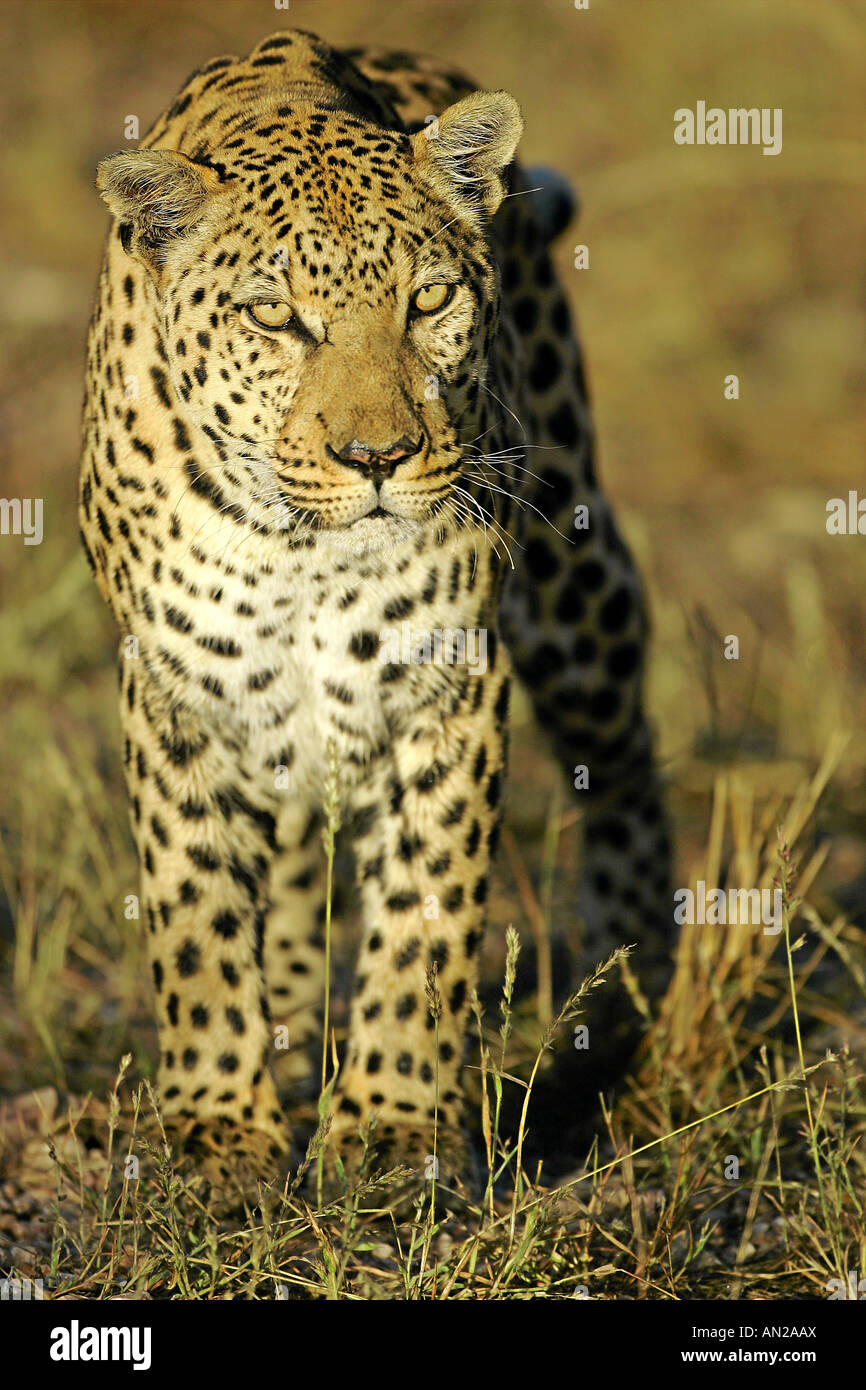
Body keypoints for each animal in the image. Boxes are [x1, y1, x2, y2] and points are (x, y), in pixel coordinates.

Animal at [79, 28, 673, 1203]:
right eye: (274, 315)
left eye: (429, 300)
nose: (378, 457)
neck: (303, 545)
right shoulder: (176, 692)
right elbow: (195, 911)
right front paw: (219, 1127)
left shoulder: (452, 685)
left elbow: (425, 921)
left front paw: (395, 1127)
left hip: (574, 584)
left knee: (622, 746)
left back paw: (621, 984)